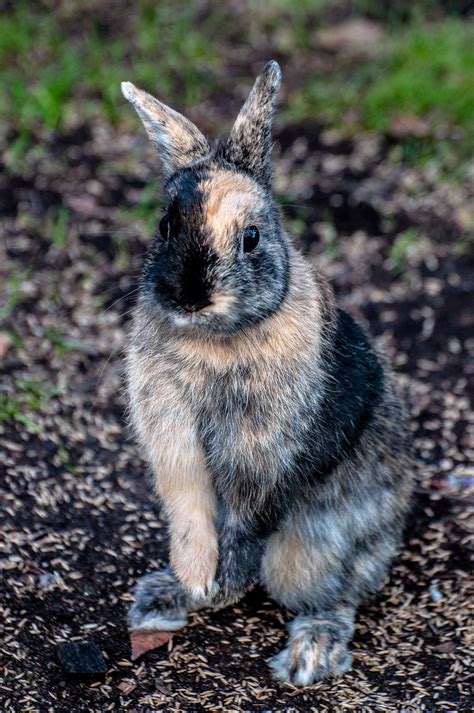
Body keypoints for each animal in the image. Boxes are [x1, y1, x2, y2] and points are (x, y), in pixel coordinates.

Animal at [121, 61, 414, 686]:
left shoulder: (262, 459)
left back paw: (309, 654)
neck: (217, 339)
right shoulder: (174, 438)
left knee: (333, 594)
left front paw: (220, 582)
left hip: (318, 545)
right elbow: (190, 508)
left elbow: (246, 521)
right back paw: (165, 597)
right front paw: (198, 580)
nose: (189, 296)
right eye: (164, 225)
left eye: (251, 238)